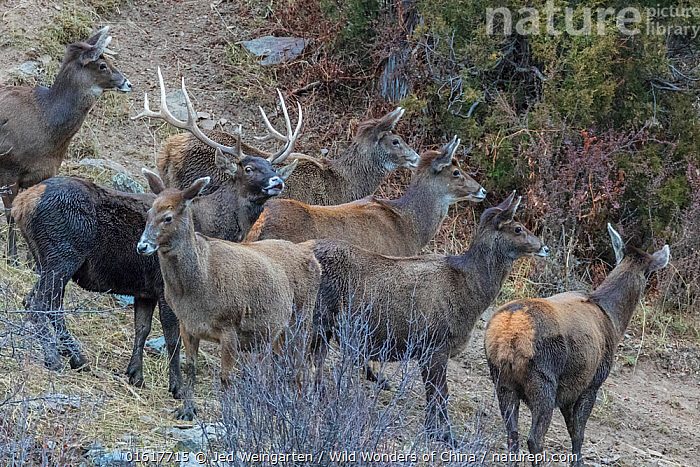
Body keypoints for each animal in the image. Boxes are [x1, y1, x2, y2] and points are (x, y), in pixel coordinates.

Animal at [0, 26, 132, 262]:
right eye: (102, 65)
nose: (128, 83)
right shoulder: (8, 170)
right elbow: (11, 217)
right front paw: (12, 258)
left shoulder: (44, 174)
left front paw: (33, 261)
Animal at [13, 90, 298, 398]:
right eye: (249, 168)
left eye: (272, 166)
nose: (277, 181)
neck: (210, 225)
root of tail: (21, 203)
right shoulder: (164, 286)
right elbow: (173, 338)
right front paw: (177, 388)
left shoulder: (144, 289)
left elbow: (142, 329)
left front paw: (135, 375)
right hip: (62, 253)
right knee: (38, 302)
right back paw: (55, 358)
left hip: (49, 258)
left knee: (44, 302)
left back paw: (74, 356)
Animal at [137, 171, 321, 421]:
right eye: (148, 213)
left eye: (168, 217)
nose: (142, 246)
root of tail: (314, 260)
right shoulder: (188, 325)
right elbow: (191, 368)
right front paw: (187, 410)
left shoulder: (230, 324)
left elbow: (226, 378)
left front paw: (228, 416)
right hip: (276, 333)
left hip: (302, 318)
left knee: (304, 367)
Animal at [311, 192, 549, 443]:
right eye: (518, 228)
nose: (544, 247)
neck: (470, 295)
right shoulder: (435, 344)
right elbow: (441, 393)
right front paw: (445, 434)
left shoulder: (427, 350)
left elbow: (432, 393)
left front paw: (432, 429)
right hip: (318, 317)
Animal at [484, 224, 669, 466]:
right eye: (649, 273)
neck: (612, 319)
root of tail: (507, 333)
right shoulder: (591, 383)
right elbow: (579, 433)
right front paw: (578, 462)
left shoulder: (568, 391)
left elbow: (572, 429)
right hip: (543, 380)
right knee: (534, 439)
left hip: (501, 379)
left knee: (512, 434)